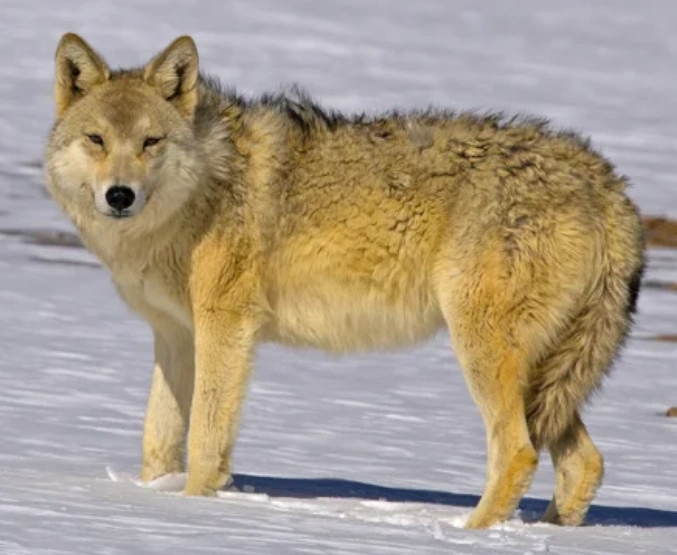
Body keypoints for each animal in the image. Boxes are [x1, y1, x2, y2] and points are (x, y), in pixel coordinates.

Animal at [44, 33, 645, 529]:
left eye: (150, 142)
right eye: (96, 139)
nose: (119, 195)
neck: (202, 191)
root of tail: (607, 182)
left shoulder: (226, 327)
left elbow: (206, 440)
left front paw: (193, 511)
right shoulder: (174, 334)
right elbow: (158, 441)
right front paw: (150, 501)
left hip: (483, 350)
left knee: (518, 452)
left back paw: (466, 534)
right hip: (547, 378)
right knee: (586, 462)